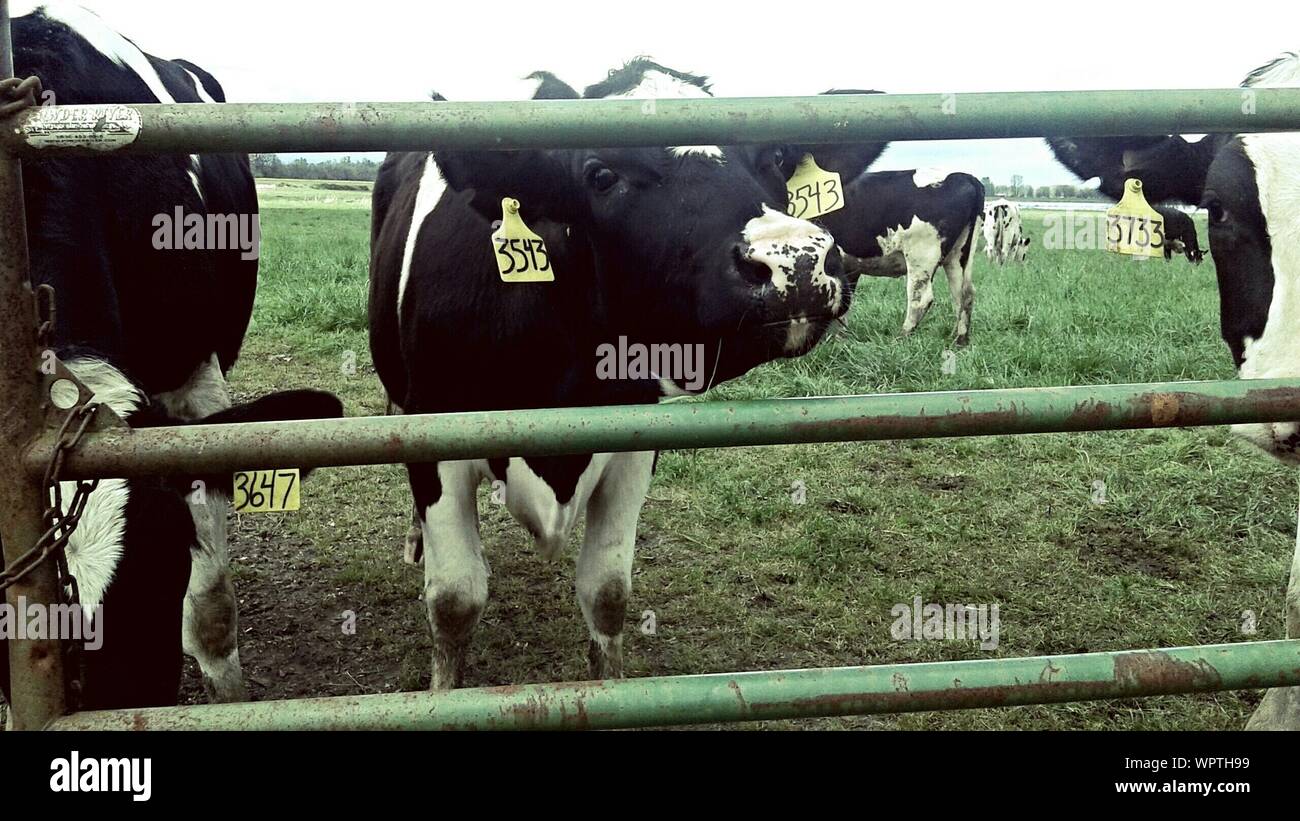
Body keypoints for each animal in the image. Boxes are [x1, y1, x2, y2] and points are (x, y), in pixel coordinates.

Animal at [369, 59, 867, 689]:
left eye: (777, 156)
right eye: (602, 174)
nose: (797, 262)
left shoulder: (632, 437)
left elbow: (607, 593)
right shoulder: (438, 429)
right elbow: (455, 600)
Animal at [807, 167, 984, 346]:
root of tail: (965, 177)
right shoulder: (849, 266)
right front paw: (837, 338)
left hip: (921, 254)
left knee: (921, 299)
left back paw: (901, 337)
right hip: (958, 255)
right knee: (964, 294)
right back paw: (959, 339)